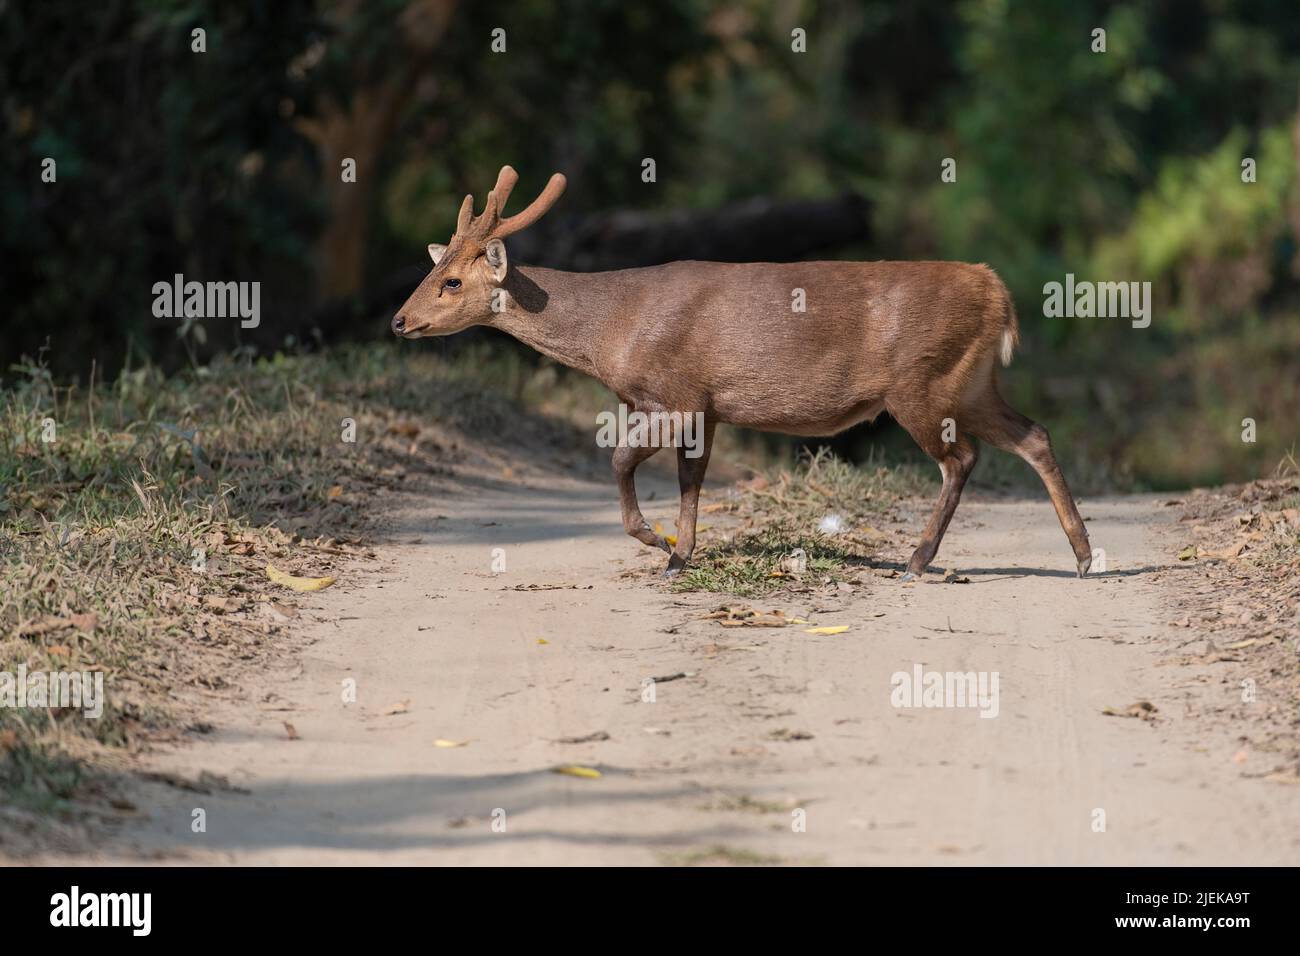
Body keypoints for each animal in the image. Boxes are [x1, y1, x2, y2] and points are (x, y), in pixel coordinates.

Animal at [393, 166, 1093, 582]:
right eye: (431, 270)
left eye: (452, 282)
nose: (400, 321)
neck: (613, 331)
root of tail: (996, 288)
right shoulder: (705, 406)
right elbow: (691, 480)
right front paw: (680, 556)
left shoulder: (675, 392)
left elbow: (619, 461)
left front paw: (654, 544)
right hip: (970, 381)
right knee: (1034, 434)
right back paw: (1084, 556)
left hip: (919, 381)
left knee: (962, 458)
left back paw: (918, 560)